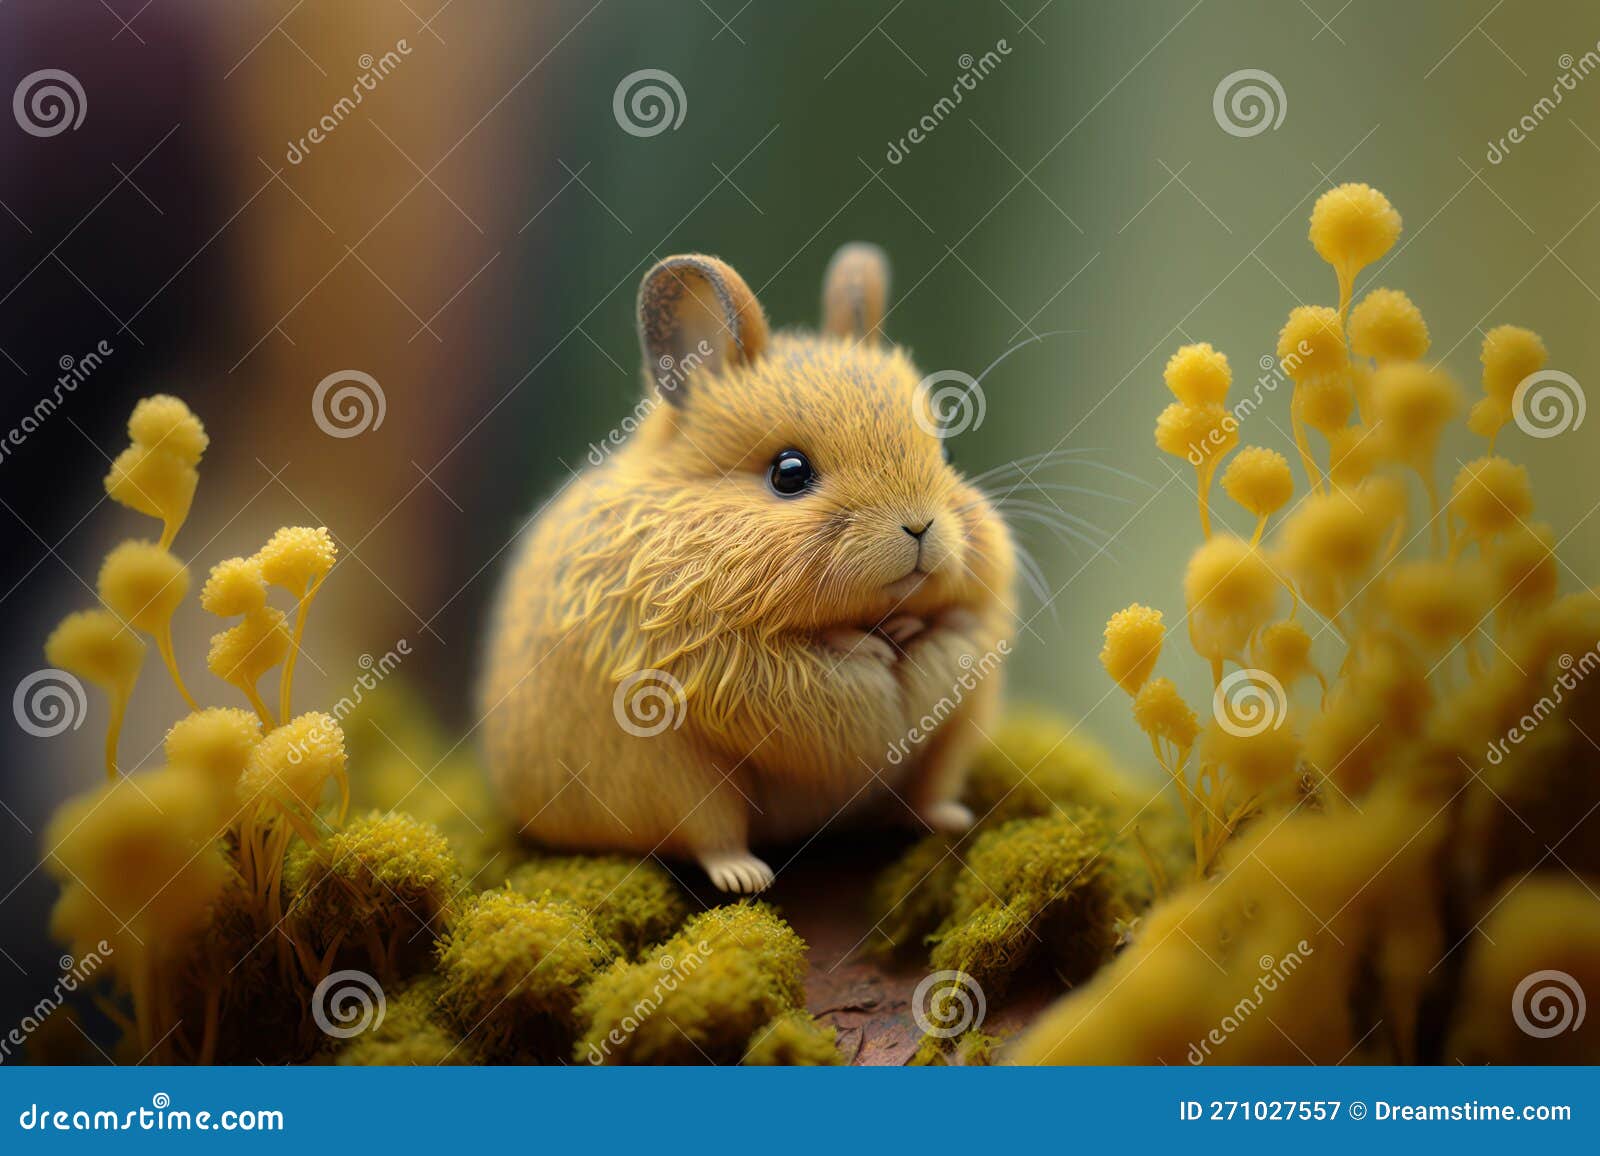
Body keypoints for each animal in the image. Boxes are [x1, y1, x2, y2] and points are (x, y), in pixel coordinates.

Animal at [479, 242, 1016, 892]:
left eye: (949, 452)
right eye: (789, 473)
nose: (920, 527)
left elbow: (961, 635)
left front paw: (913, 631)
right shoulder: (715, 658)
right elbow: (817, 668)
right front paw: (874, 644)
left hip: (951, 745)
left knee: (926, 795)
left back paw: (952, 817)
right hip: (678, 778)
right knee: (712, 836)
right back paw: (745, 876)